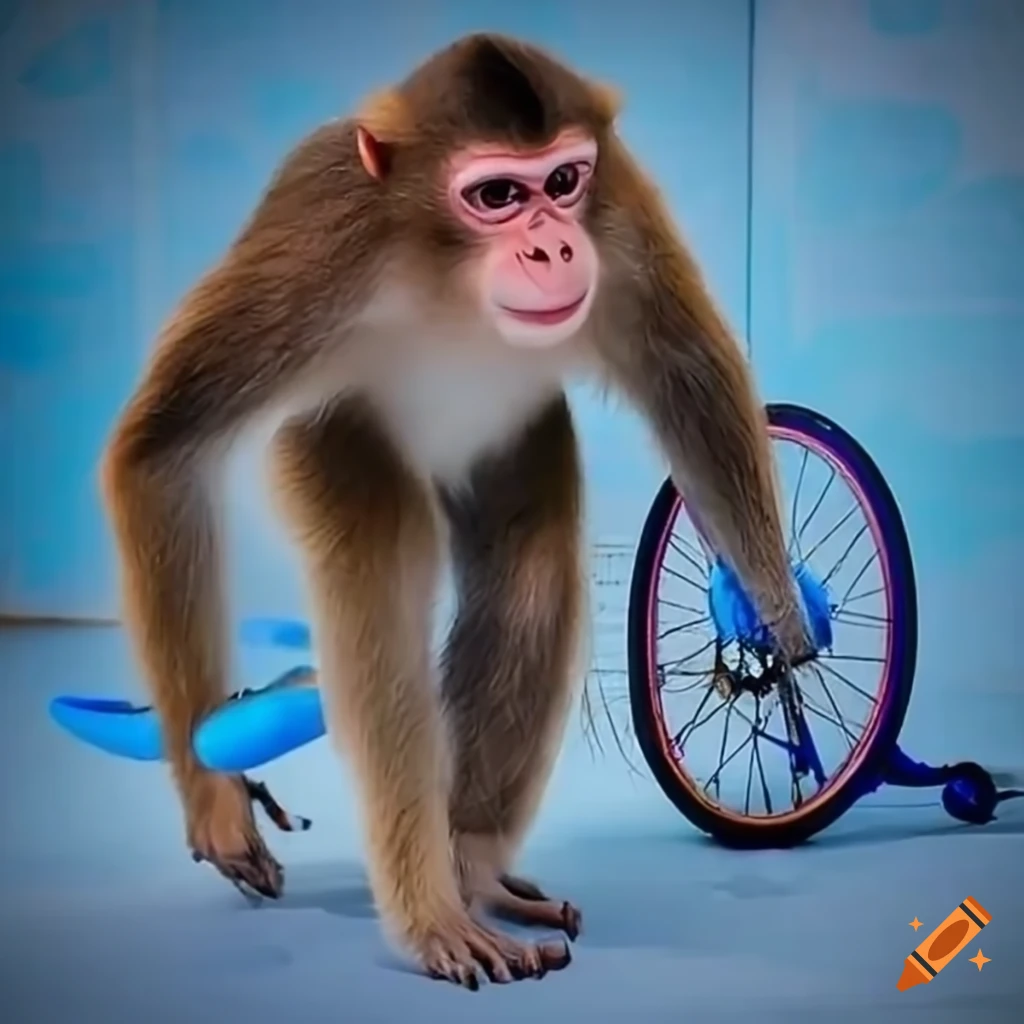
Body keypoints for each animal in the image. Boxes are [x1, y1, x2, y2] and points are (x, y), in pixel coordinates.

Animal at [100, 33, 811, 988]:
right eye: (497, 196)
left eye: (563, 182)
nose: (553, 248)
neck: (447, 277)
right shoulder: (324, 237)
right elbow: (163, 452)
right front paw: (214, 796)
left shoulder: (616, 202)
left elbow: (684, 369)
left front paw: (775, 610)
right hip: (326, 441)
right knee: (381, 588)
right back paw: (432, 911)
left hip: (510, 440)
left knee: (529, 566)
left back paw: (471, 863)